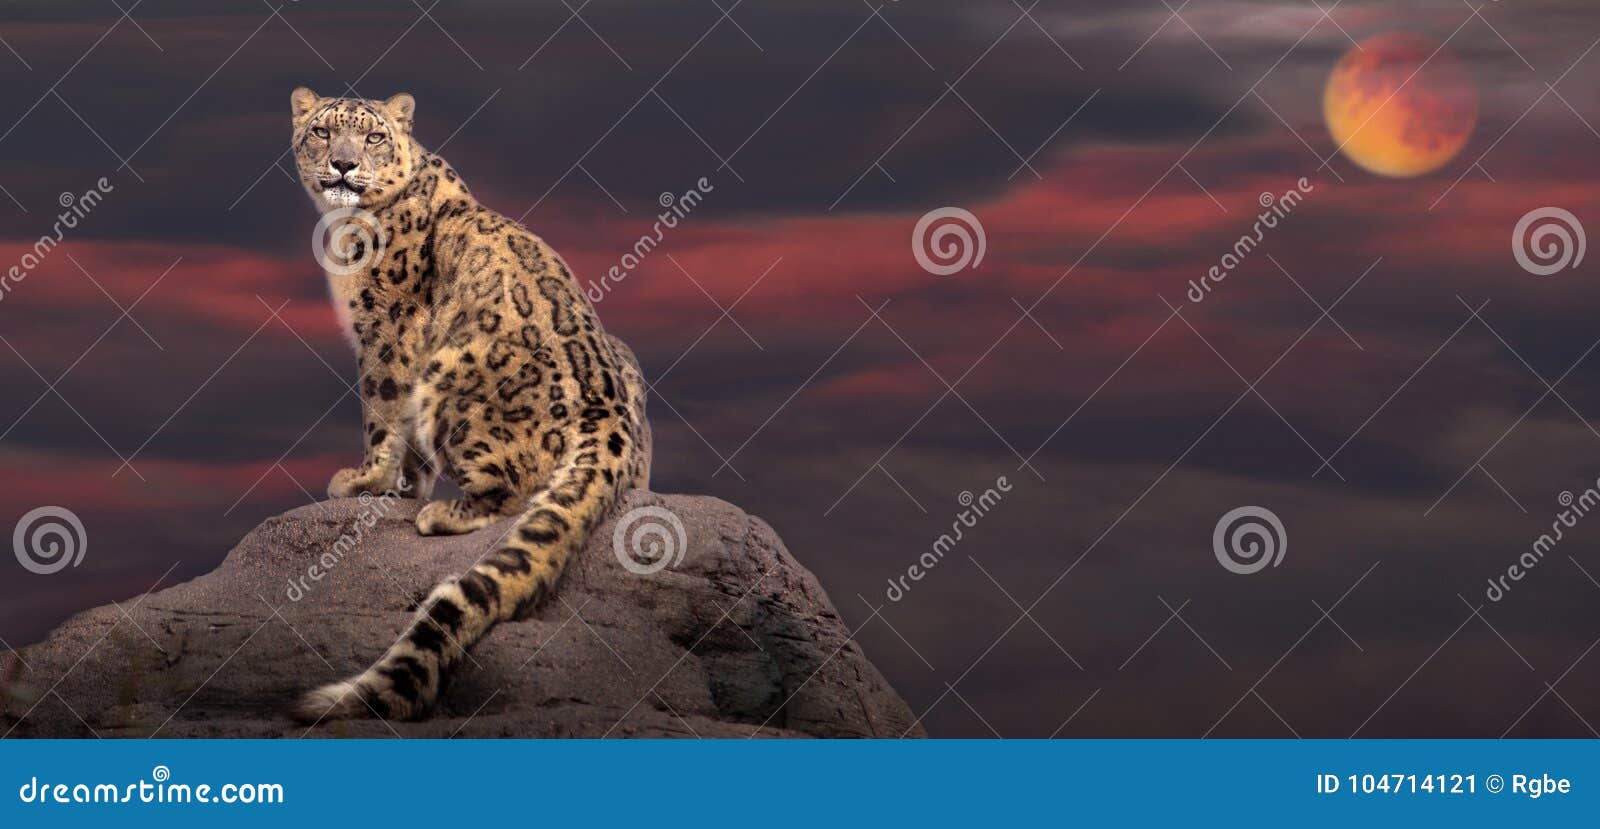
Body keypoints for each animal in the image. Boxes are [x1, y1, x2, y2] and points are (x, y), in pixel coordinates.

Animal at [286, 87, 651, 723]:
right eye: (322, 131)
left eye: (373, 136)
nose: (344, 164)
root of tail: (609, 413)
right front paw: (404, 485)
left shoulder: (387, 332)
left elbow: (381, 410)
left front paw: (364, 481)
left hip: (448, 380)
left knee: (512, 490)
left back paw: (442, 516)